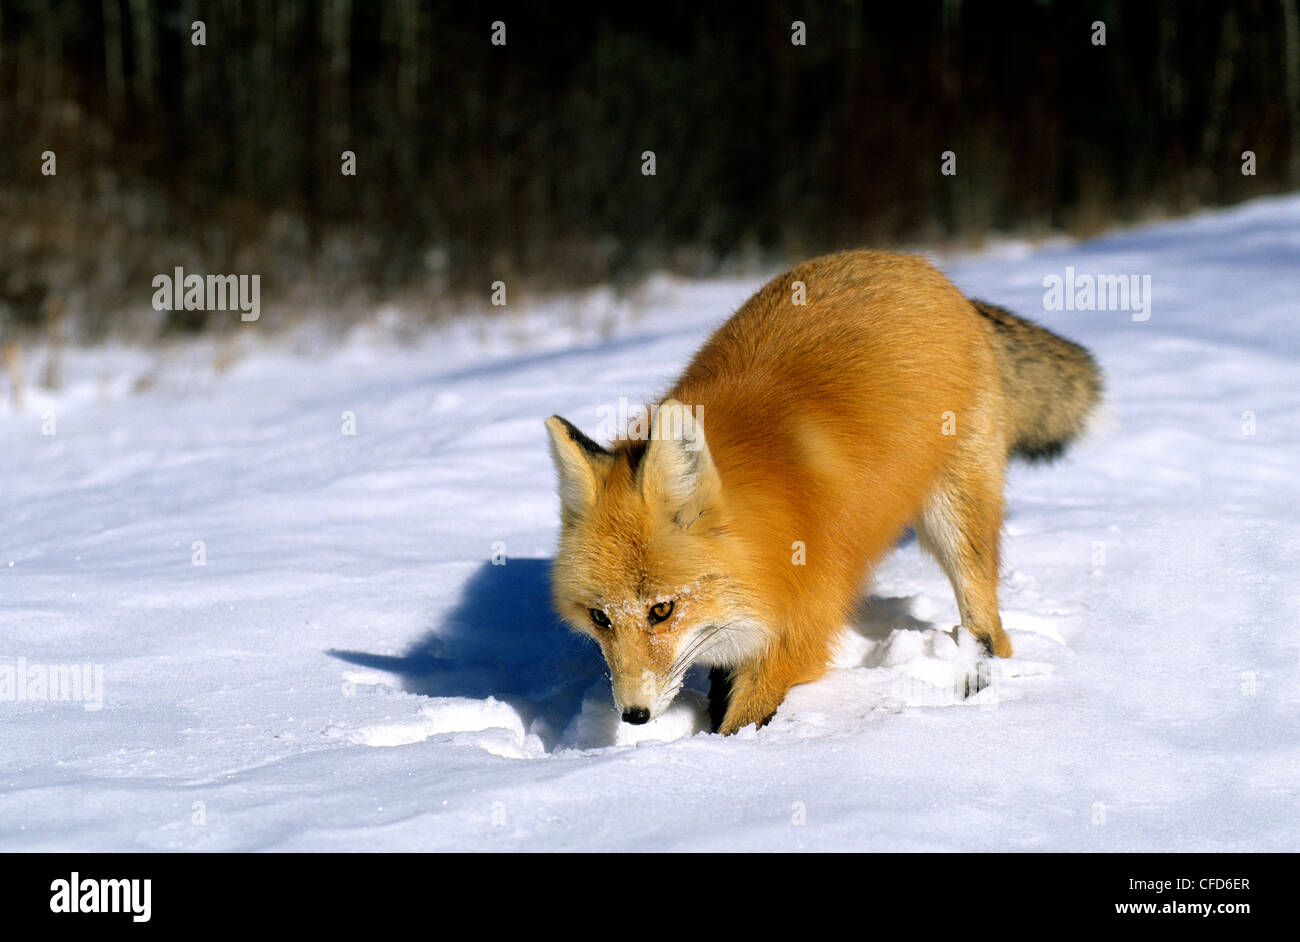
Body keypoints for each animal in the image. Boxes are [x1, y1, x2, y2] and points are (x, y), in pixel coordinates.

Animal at [544, 251, 1102, 735]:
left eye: (662, 610)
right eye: (600, 618)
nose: (633, 716)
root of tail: (919, 266)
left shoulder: (798, 631)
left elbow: (741, 721)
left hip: (956, 517)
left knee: (989, 629)